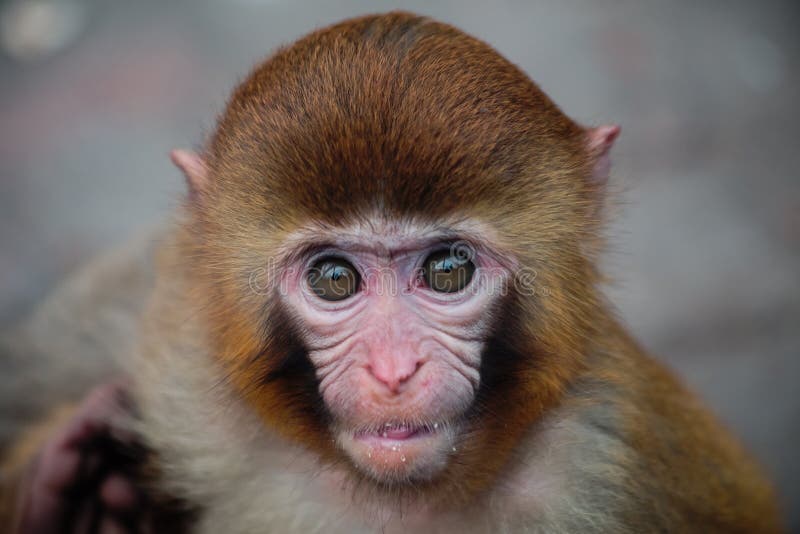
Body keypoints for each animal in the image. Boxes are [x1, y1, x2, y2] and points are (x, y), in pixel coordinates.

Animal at [0, 11, 784, 533]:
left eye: (447, 270)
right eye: (334, 279)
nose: (392, 369)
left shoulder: (608, 465)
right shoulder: (180, 327)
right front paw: (57, 492)